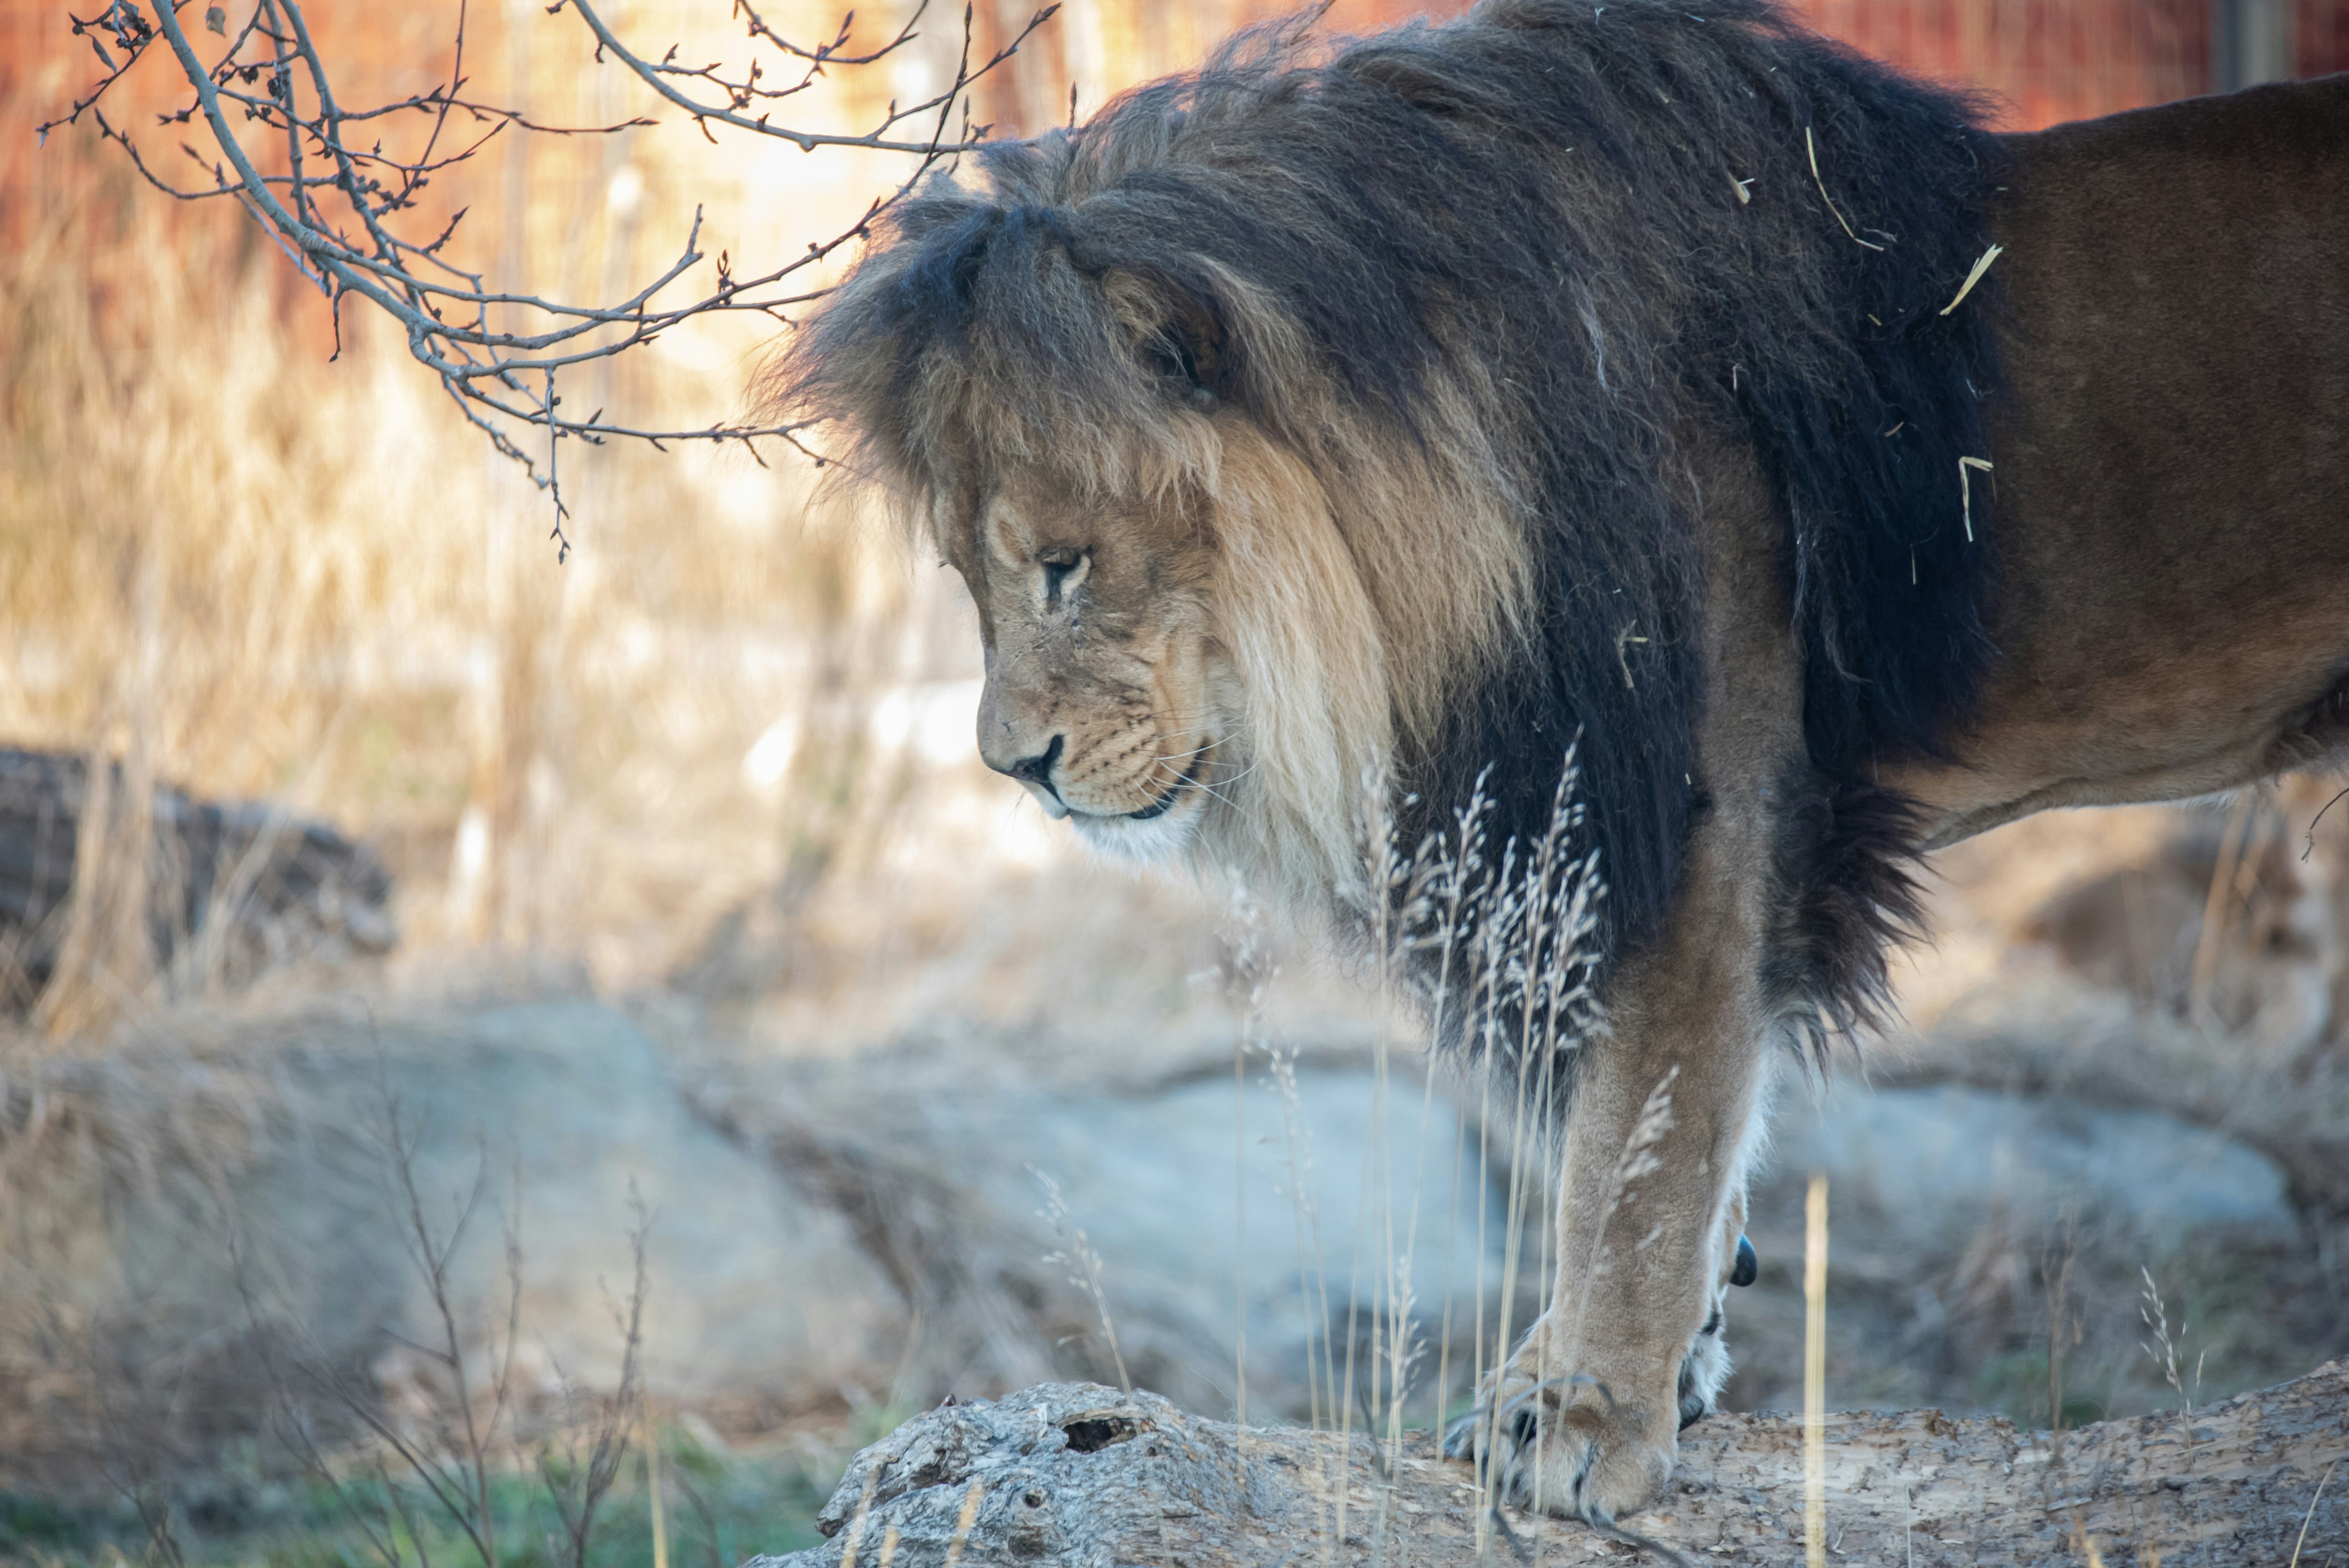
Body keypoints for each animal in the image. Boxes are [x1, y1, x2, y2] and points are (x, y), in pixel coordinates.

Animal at [768, 0, 2349, 1526]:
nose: (1012, 768)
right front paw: (1646, 1365)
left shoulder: (1690, 814)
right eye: (973, 575)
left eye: (1063, 561)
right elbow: (1672, 1137)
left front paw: (1580, 1418)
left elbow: (1635, 1144)